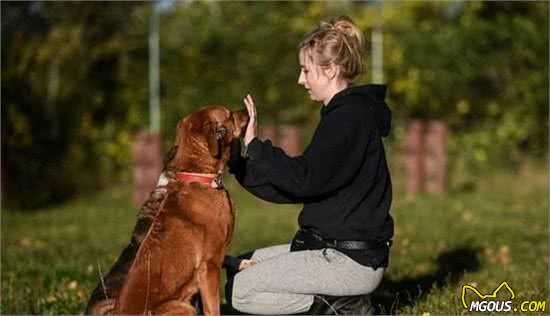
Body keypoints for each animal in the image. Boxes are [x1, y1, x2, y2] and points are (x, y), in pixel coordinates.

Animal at [86, 105, 250, 314]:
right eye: (229, 115)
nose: (246, 110)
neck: (198, 176)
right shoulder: (209, 266)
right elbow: (213, 308)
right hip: (184, 307)